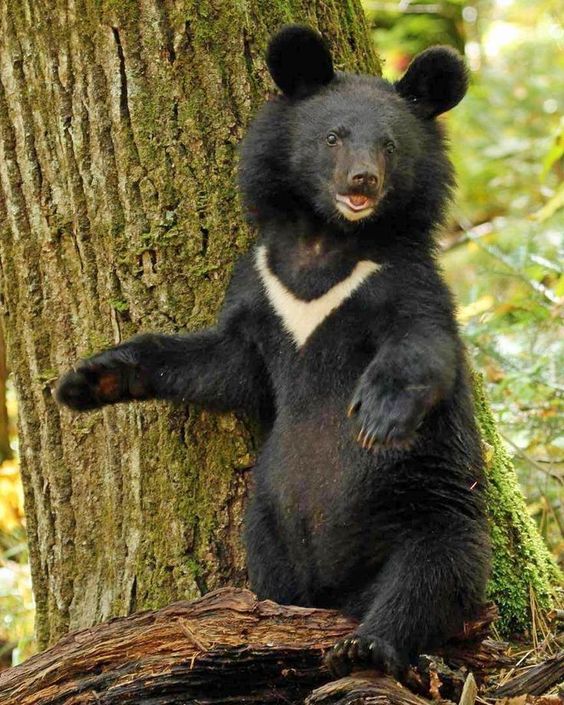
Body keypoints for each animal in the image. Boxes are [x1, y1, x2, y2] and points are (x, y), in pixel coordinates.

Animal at [56, 25, 491, 678]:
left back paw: (365, 645)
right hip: (267, 521)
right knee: (281, 575)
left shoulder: (401, 277)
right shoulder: (260, 284)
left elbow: (424, 343)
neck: (326, 242)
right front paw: (89, 380)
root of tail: (336, 587)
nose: (362, 181)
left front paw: (377, 417)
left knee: (433, 575)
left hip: (430, 504)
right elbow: (227, 365)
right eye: (333, 137)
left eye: (389, 146)